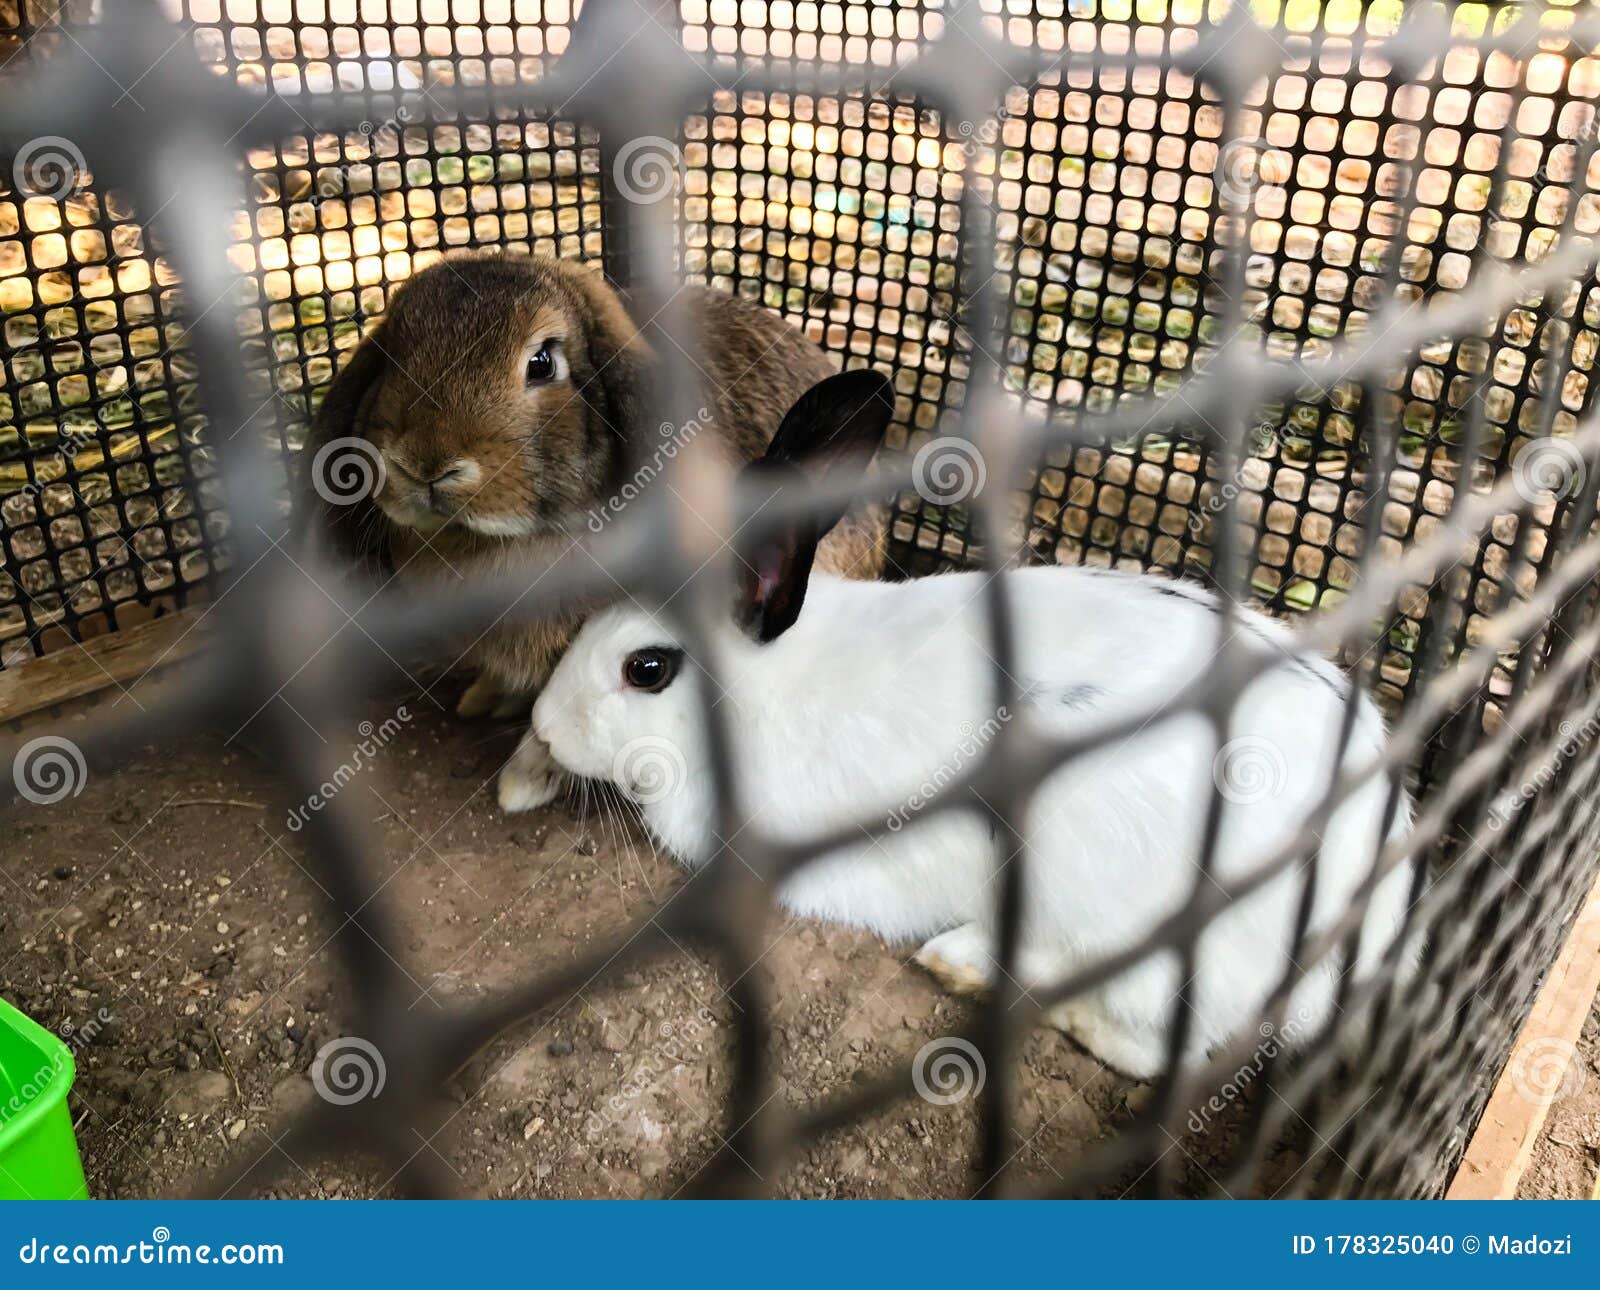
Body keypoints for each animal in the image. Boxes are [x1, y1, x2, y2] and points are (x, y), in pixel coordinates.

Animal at [516, 369, 1420, 1080]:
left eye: (647, 669)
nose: (547, 726)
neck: (759, 692)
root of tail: (1369, 923)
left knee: (1157, 1044)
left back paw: (975, 970)